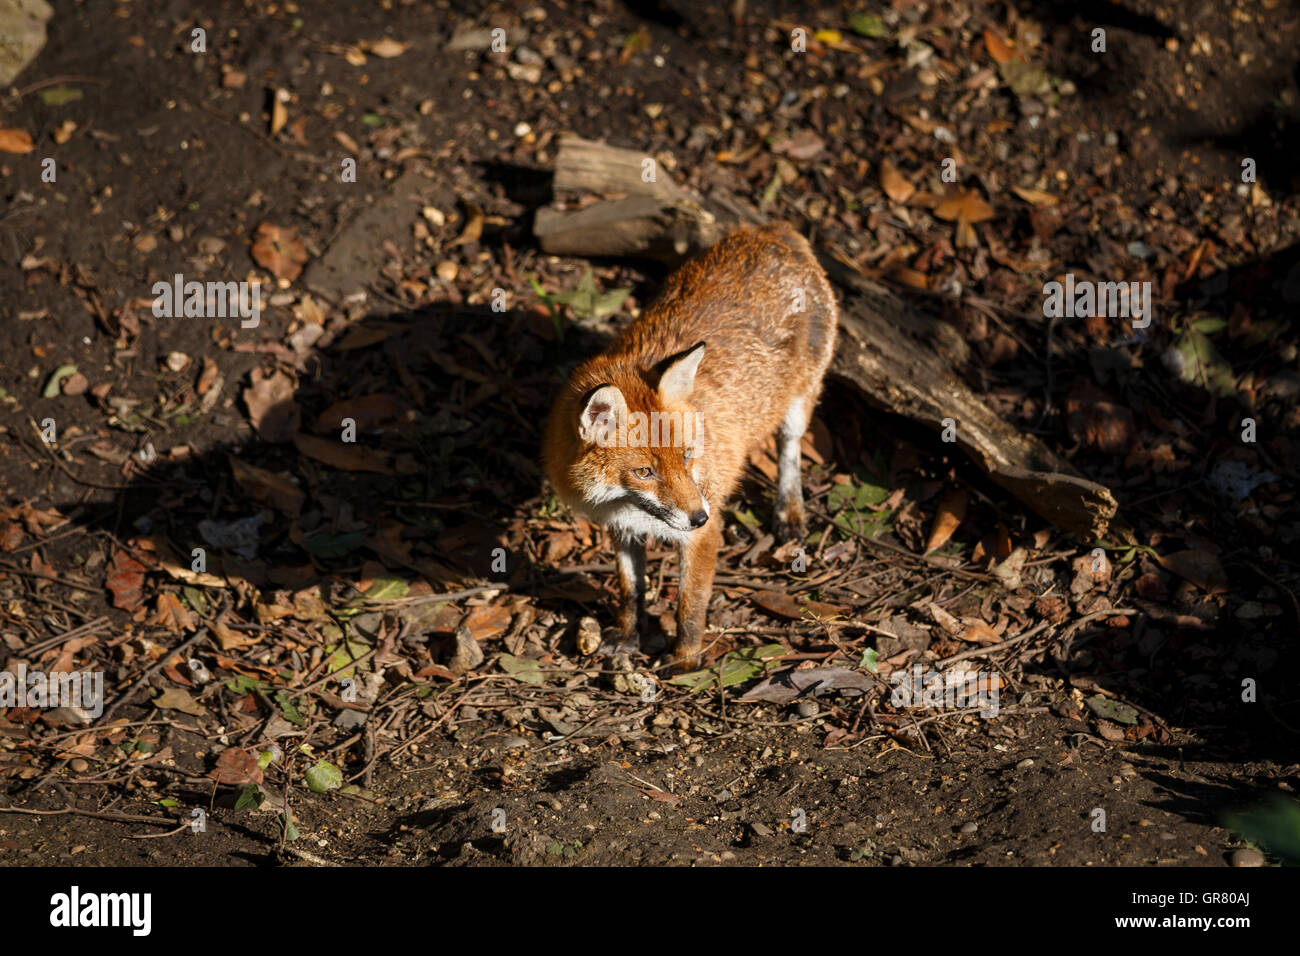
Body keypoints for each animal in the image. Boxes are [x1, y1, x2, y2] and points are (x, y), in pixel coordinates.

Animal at [543, 222, 838, 670]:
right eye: (645, 472)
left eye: (686, 457)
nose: (700, 515)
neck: (623, 504)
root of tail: (773, 230)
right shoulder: (621, 529)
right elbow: (631, 591)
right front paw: (628, 637)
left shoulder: (702, 537)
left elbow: (690, 604)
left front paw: (684, 660)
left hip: (799, 402)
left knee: (790, 448)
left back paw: (789, 511)